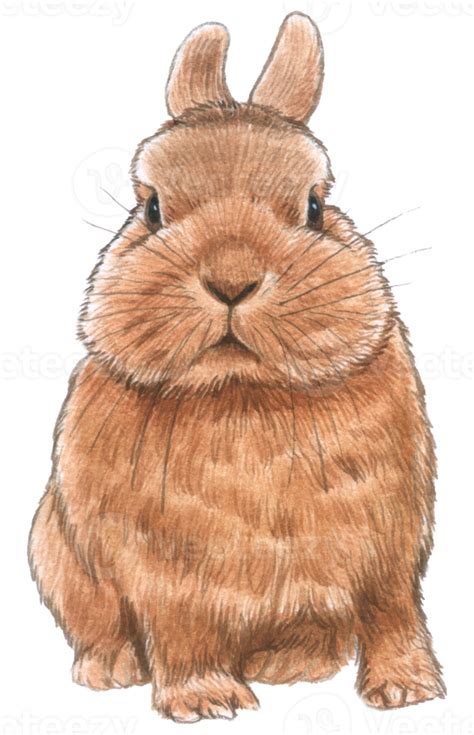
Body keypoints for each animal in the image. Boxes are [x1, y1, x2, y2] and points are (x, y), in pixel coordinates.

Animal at [29, 12, 445, 722]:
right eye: (151, 209)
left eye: (315, 206)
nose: (231, 278)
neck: (244, 392)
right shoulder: (165, 574)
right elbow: (180, 631)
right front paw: (205, 702)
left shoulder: (392, 547)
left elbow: (395, 615)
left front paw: (408, 691)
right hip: (57, 558)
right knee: (102, 630)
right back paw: (110, 671)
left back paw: (289, 666)